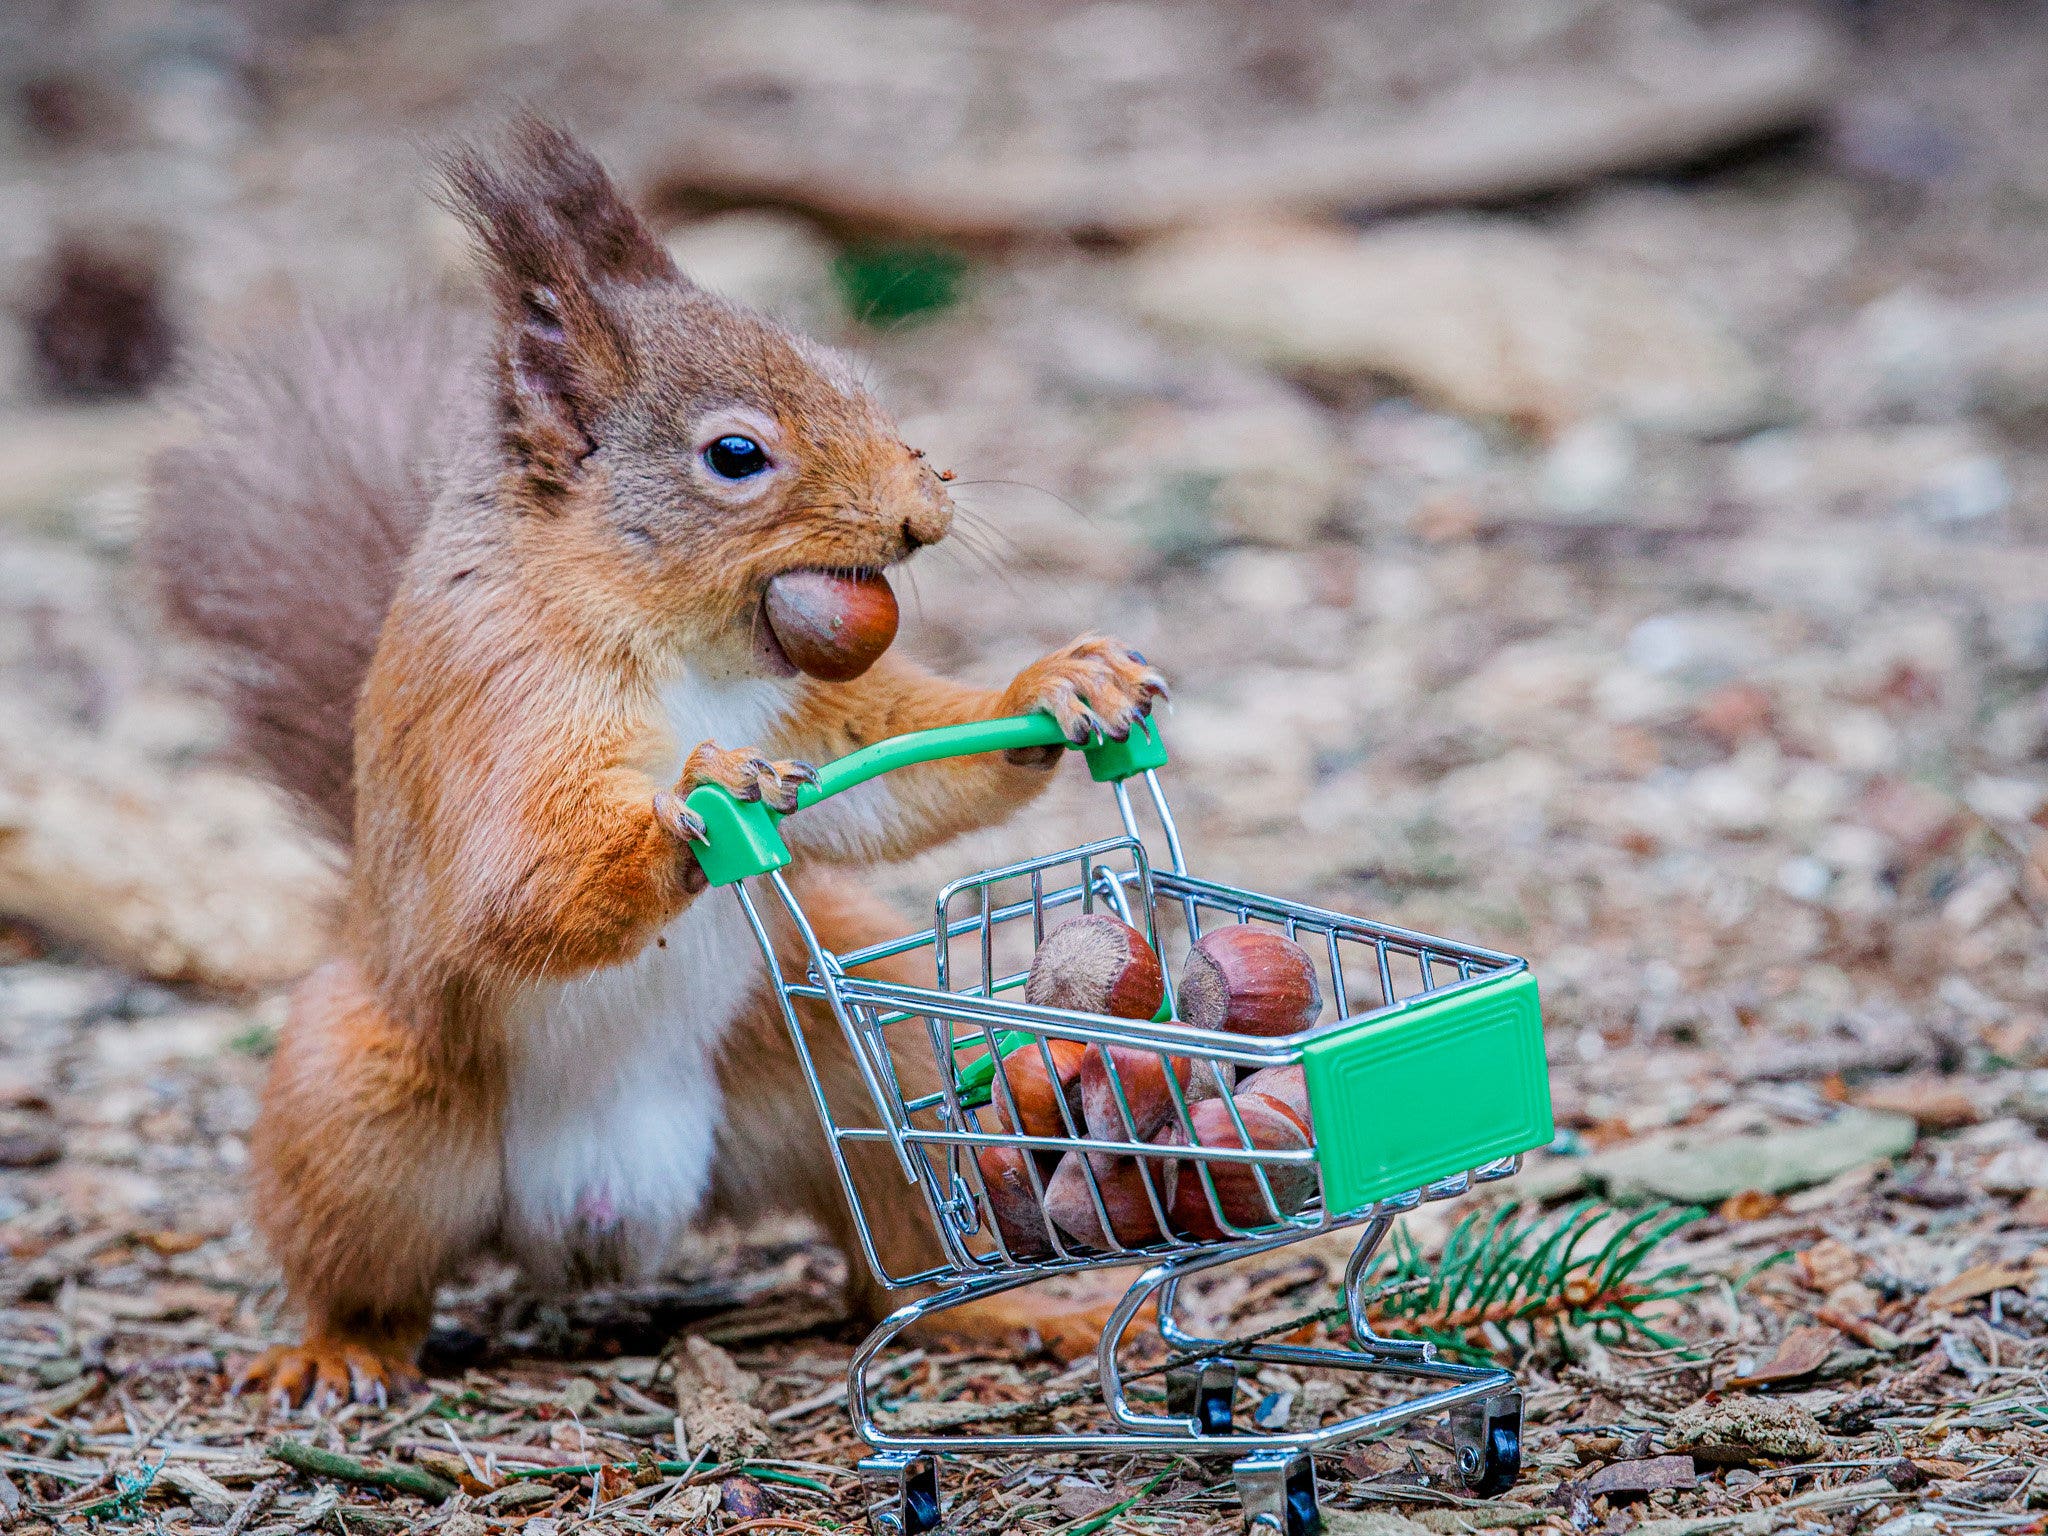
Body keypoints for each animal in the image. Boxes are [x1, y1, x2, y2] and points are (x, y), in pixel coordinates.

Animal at [143, 119, 1165, 1409]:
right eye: (734, 454)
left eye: (848, 373)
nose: (920, 512)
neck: (681, 642)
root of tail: (601, 1212)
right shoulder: (504, 701)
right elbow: (513, 878)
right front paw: (700, 795)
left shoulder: (807, 716)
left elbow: (886, 774)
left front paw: (1057, 688)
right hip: (360, 1107)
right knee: (369, 1278)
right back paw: (333, 1351)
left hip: (843, 1051)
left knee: (888, 1240)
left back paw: (1002, 1312)